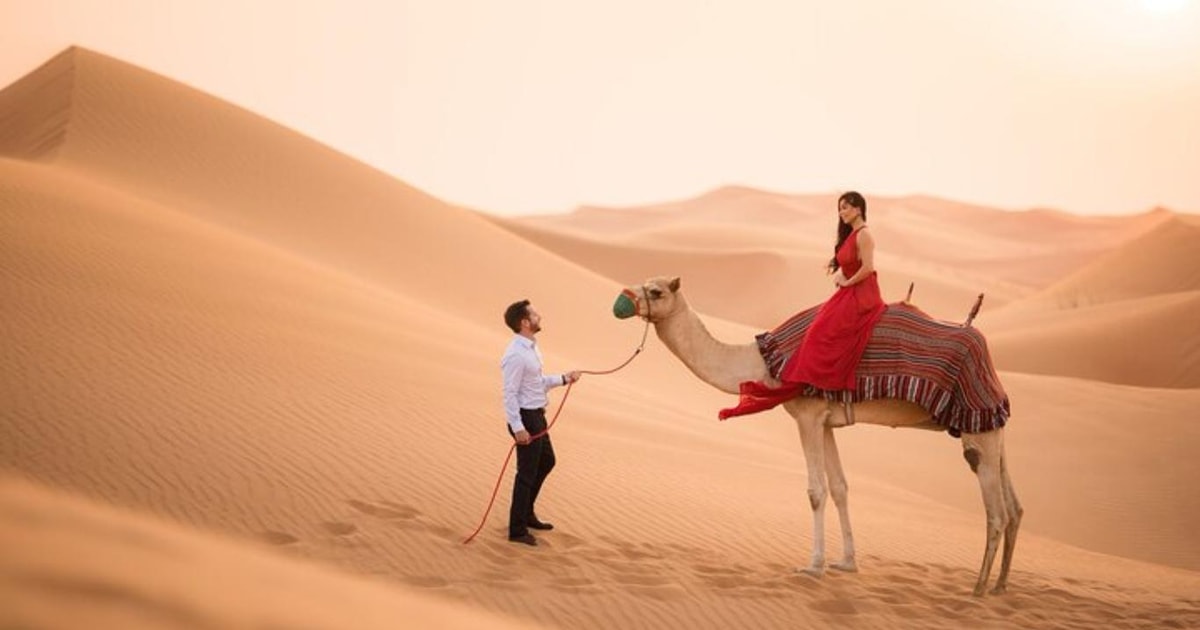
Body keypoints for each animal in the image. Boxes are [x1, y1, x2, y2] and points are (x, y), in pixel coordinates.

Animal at [612, 276, 1022, 597]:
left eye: (656, 290)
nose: (622, 301)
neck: (763, 363)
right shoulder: (826, 422)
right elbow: (840, 487)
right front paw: (846, 562)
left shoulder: (807, 415)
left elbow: (816, 491)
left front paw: (813, 566)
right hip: (994, 426)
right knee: (1015, 506)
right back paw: (1000, 586)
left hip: (976, 429)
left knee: (996, 512)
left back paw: (979, 588)